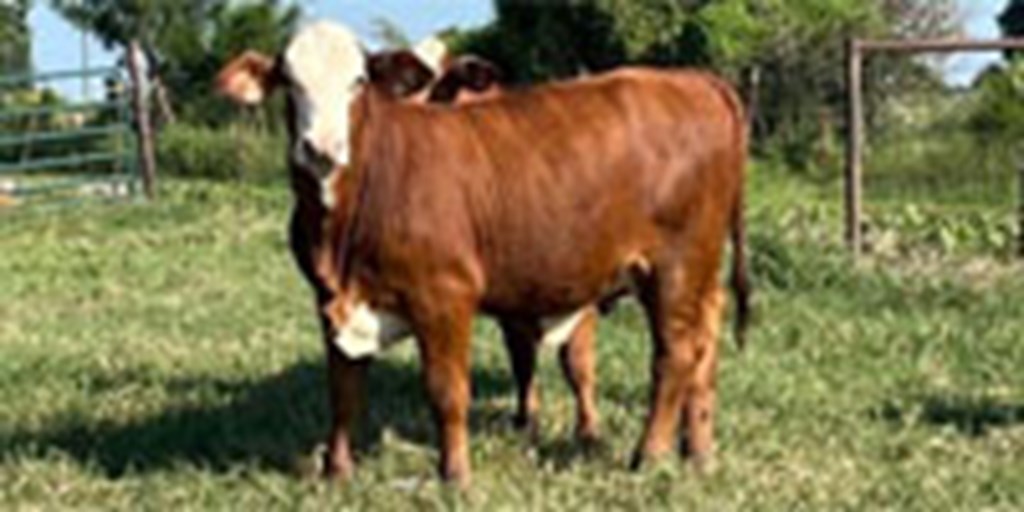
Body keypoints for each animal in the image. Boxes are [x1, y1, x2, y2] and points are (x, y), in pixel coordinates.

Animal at [216, 21, 601, 479]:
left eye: (358, 81)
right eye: (290, 82)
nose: (322, 148)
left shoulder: (444, 298)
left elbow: (448, 389)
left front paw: (456, 472)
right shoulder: (330, 299)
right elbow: (343, 391)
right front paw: (337, 469)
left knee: (577, 363)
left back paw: (588, 432)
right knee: (525, 355)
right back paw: (527, 422)